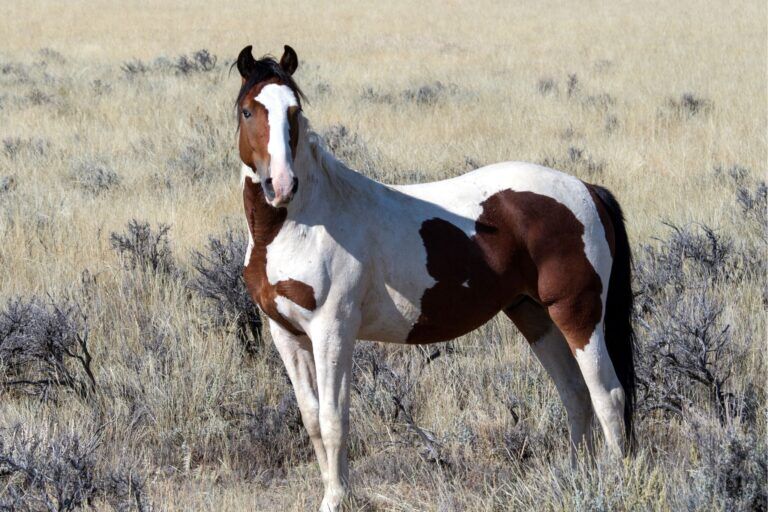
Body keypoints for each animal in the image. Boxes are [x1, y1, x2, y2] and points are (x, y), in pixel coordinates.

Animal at [234, 44, 636, 511]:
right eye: (248, 110)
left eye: (293, 111)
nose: (280, 185)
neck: (305, 221)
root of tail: (587, 189)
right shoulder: (287, 334)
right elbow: (313, 418)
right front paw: (336, 491)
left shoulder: (332, 331)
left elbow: (335, 420)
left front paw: (336, 499)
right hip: (534, 316)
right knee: (575, 395)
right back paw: (575, 480)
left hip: (578, 315)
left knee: (608, 395)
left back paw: (615, 485)